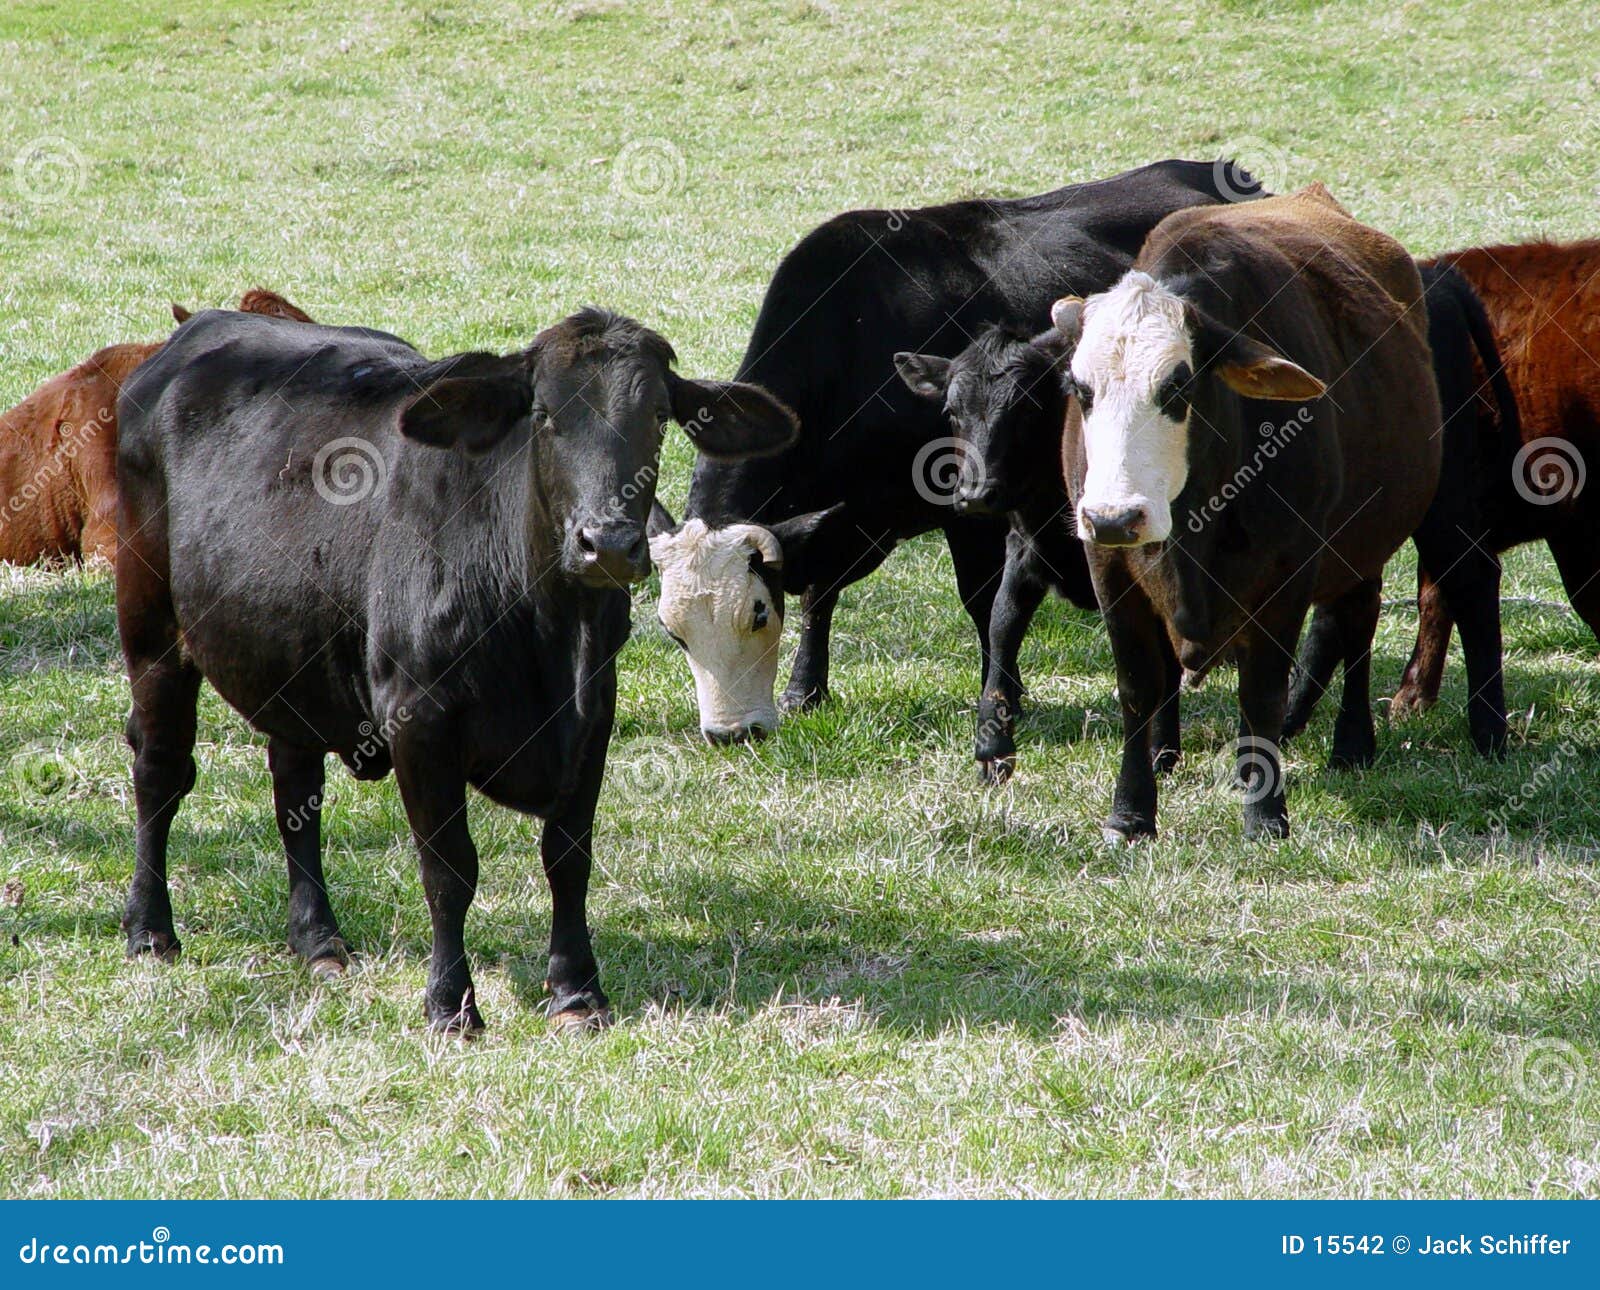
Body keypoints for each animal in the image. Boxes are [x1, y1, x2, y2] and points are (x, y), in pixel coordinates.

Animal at [114, 305, 796, 1033]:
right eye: (544, 414)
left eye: (661, 415)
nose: (606, 544)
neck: (550, 637)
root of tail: (196, 330)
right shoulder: (420, 718)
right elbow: (449, 868)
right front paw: (450, 1003)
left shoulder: (593, 716)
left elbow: (568, 856)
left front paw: (577, 991)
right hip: (151, 632)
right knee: (160, 773)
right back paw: (150, 930)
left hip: (291, 652)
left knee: (294, 785)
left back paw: (318, 940)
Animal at [651, 159, 1263, 744]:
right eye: (672, 632)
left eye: (756, 613)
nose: (731, 734)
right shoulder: (850, 518)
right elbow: (819, 596)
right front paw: (806, 690)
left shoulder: (969, 512)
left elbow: (983, 601)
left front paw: (1003, 695)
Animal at [1052, 184, 1441, 841]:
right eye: (1080, 389)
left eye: (1177, 388)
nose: (1114, 517)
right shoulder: (1108, 567)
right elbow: (1138, 686)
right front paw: (1131, 812)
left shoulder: (1287, 573)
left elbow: (1262, 691)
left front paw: (1265, 814)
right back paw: (1168, 752)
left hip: (1366, 550)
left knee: (1355, 627)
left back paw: (1352, 744)